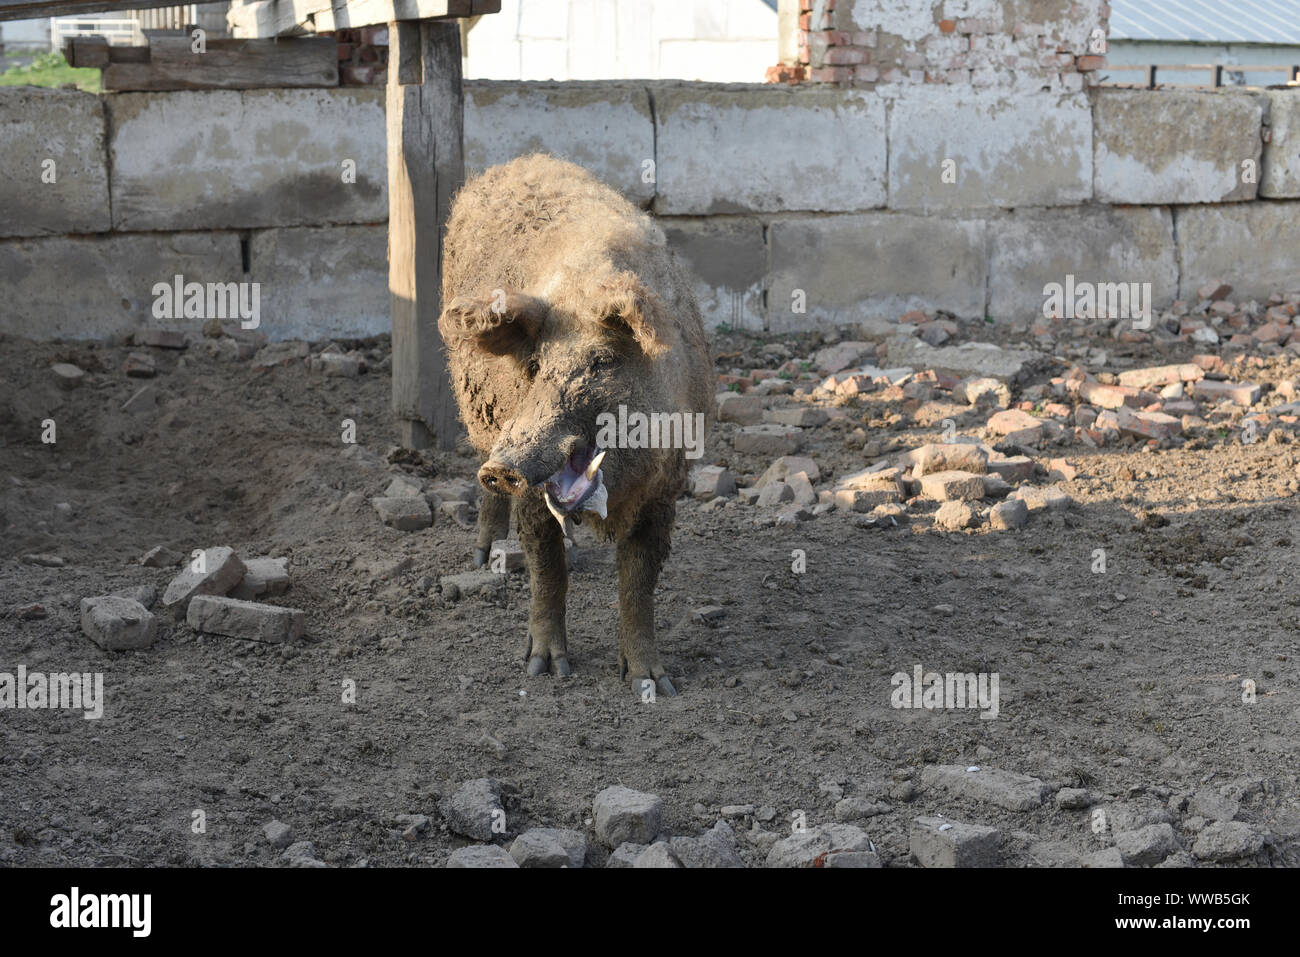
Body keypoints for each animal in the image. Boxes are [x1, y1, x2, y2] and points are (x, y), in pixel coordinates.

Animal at [437, 154, 714, 697]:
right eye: (535, 366)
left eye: (602, 362)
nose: (504, 465)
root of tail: (513, 162)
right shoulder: (529, 491)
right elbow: (546, 568)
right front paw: (544, 669)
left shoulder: (666, 486)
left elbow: (638, 582)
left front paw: (654, 685)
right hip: (481, 419)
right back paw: (484, 557)